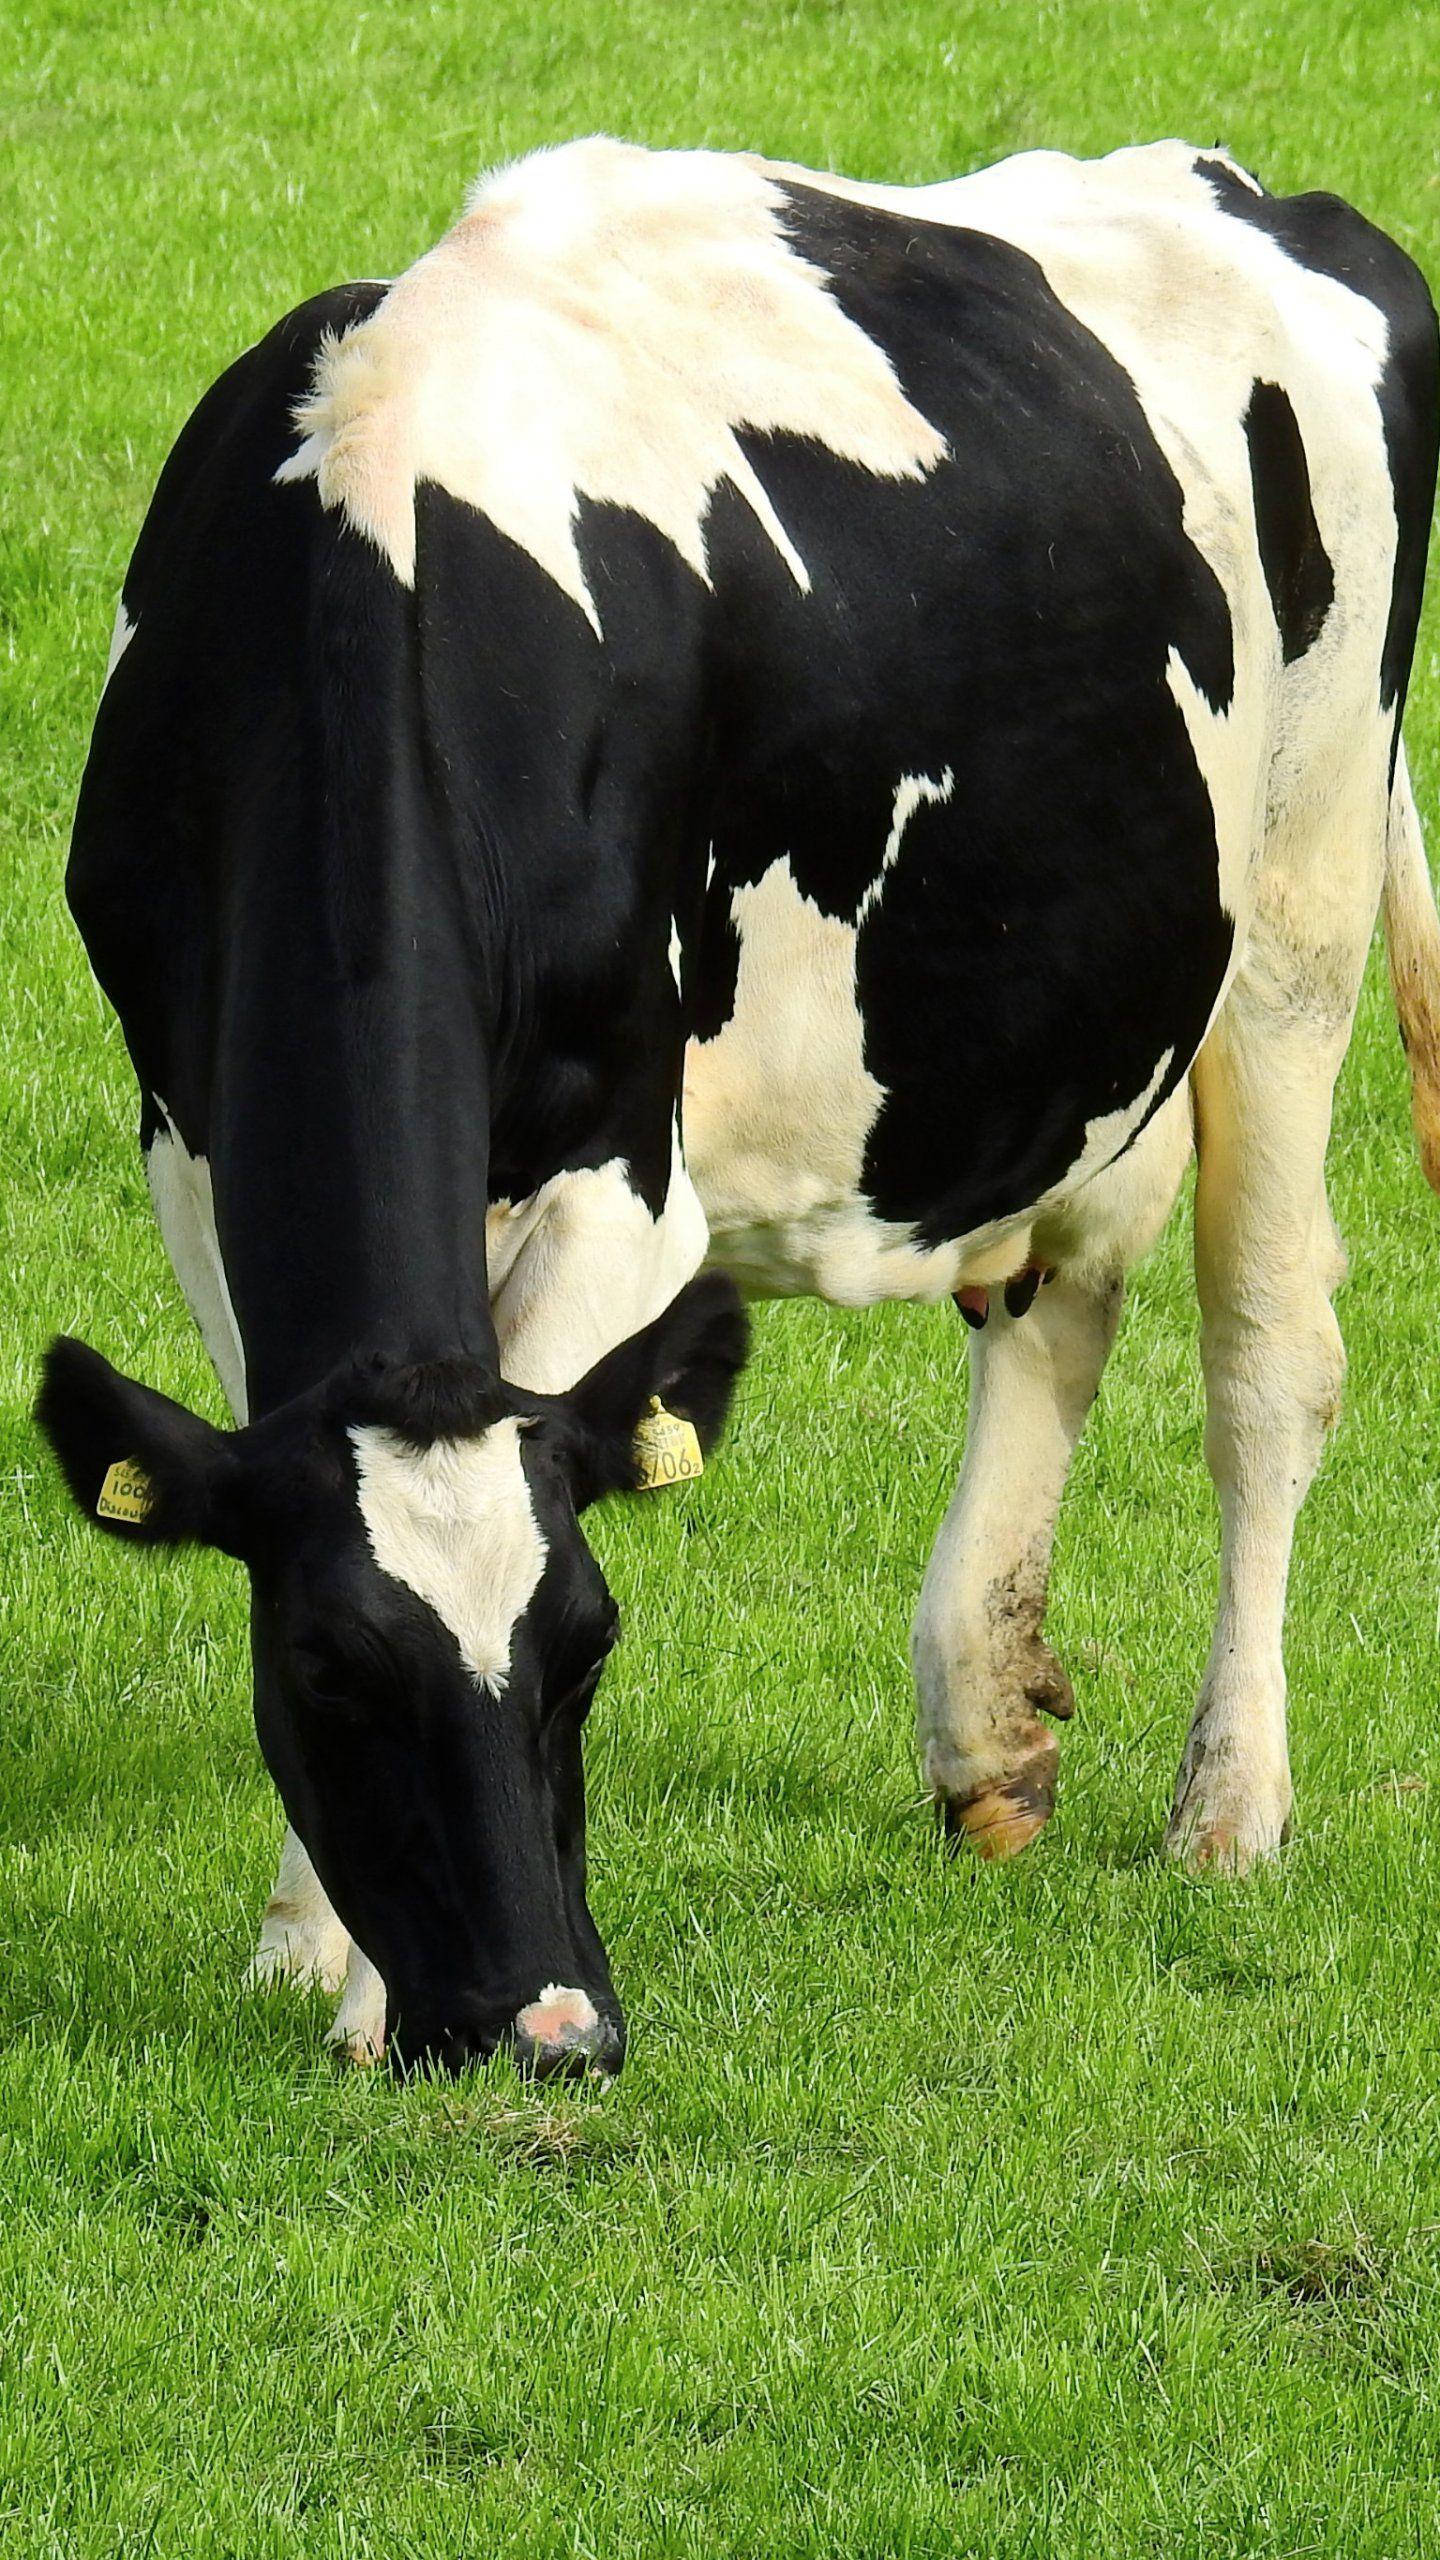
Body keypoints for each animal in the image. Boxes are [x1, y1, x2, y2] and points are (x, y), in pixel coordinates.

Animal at [36, 135, 1440, 2078]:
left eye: (592, 1647)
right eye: (326, 1671)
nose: (550, 2024)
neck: (380, 544)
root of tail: (1247, 185)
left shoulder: (622, 1186)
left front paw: (361, 1988)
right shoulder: (189, 1144)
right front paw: (310, 1949)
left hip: (1300, 901)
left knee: (1269, 1352)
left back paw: (1229, 1807)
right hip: (1058, 1000)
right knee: (1057, 1298)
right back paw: (988, 1735)